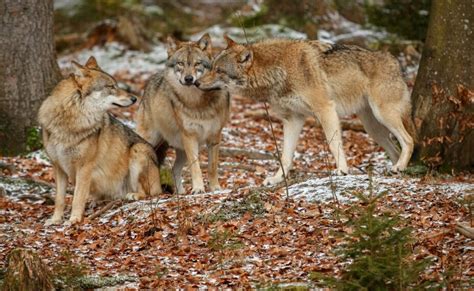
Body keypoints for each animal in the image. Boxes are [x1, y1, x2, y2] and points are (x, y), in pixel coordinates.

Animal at [37, 57, 163, 226]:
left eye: (116, 85)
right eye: (111, 86)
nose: (134, 98)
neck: (70, 120)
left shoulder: (84, 167)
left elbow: (77, 198)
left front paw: (74, 220)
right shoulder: (58, 167)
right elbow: (60, 199)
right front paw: (55, 220)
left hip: (138, 150)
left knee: (150, 193)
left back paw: (133, 195)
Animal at [134, 33, 231, 194]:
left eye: (197, 64)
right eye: (180, 63)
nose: (189, 79)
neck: (197, 103)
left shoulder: (215, 136)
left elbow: (212, 167)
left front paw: (215, 188)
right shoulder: (190, 136)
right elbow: (196, 167)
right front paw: (198, 189)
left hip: (180, 149)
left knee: (174, 169)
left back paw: (180, 193)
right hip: (149, 141)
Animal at [196, 37, 414, 187]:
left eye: (219, 70)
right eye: (211, 67)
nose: (196, 82)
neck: (279, 70)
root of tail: (395, 62)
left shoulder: (325, 109)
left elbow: (333, 144)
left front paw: (342, 170)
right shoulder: (293, 119)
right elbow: (285, 156)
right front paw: (276, 179)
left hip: (383, 115)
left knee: (409, 140)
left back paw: (400, 166)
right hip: (372, 128)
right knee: (396, 149)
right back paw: (396, 170)